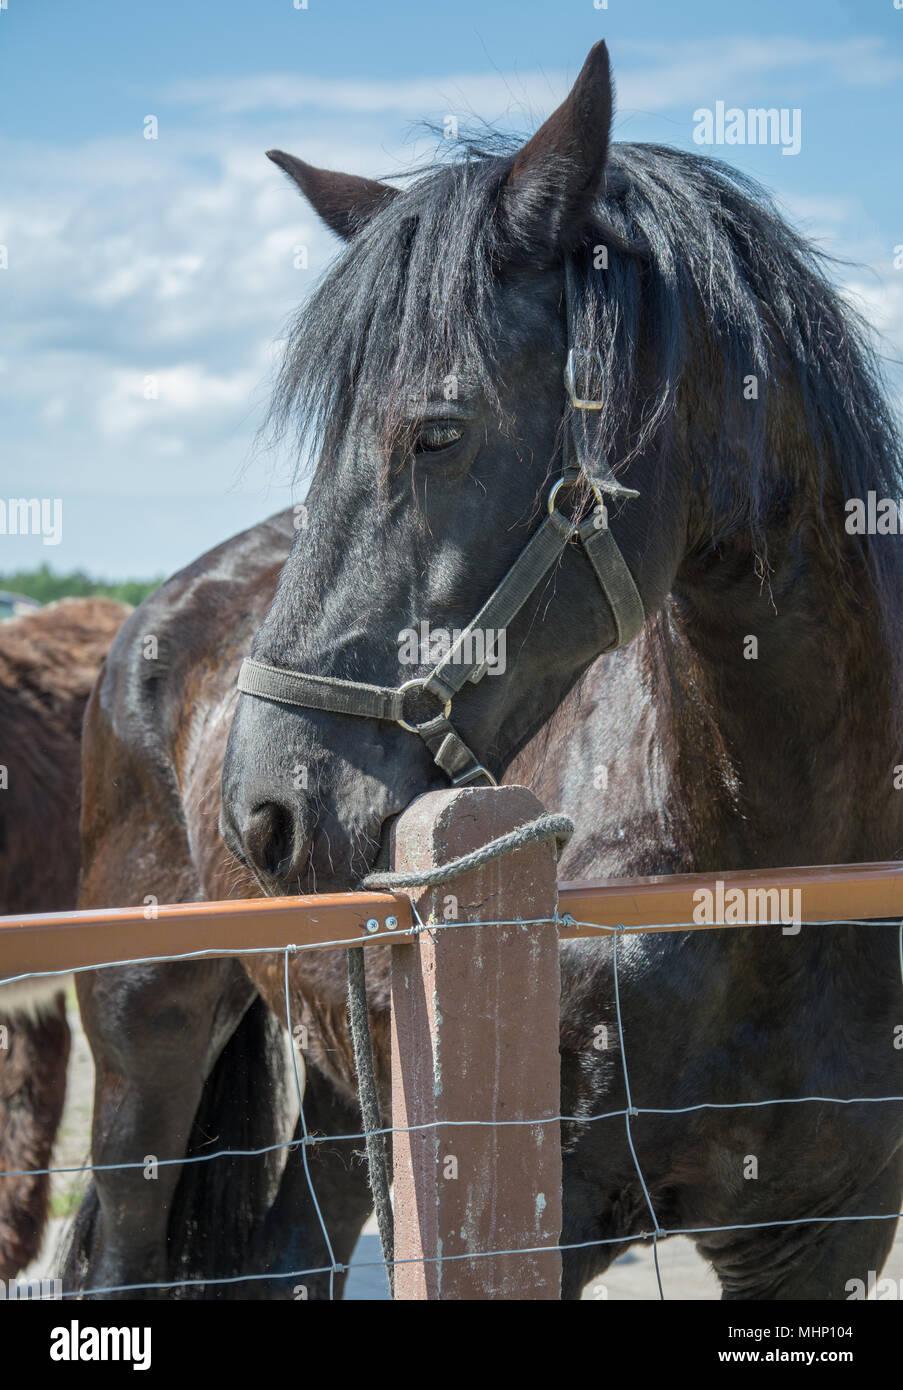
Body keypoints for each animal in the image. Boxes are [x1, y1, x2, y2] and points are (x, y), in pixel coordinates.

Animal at [65, 40, 903, 1300]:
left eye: (439, 431)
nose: (262, 807)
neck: (778, 880)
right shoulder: (528, 1217)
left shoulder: (827, 1236)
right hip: (140, 1059)